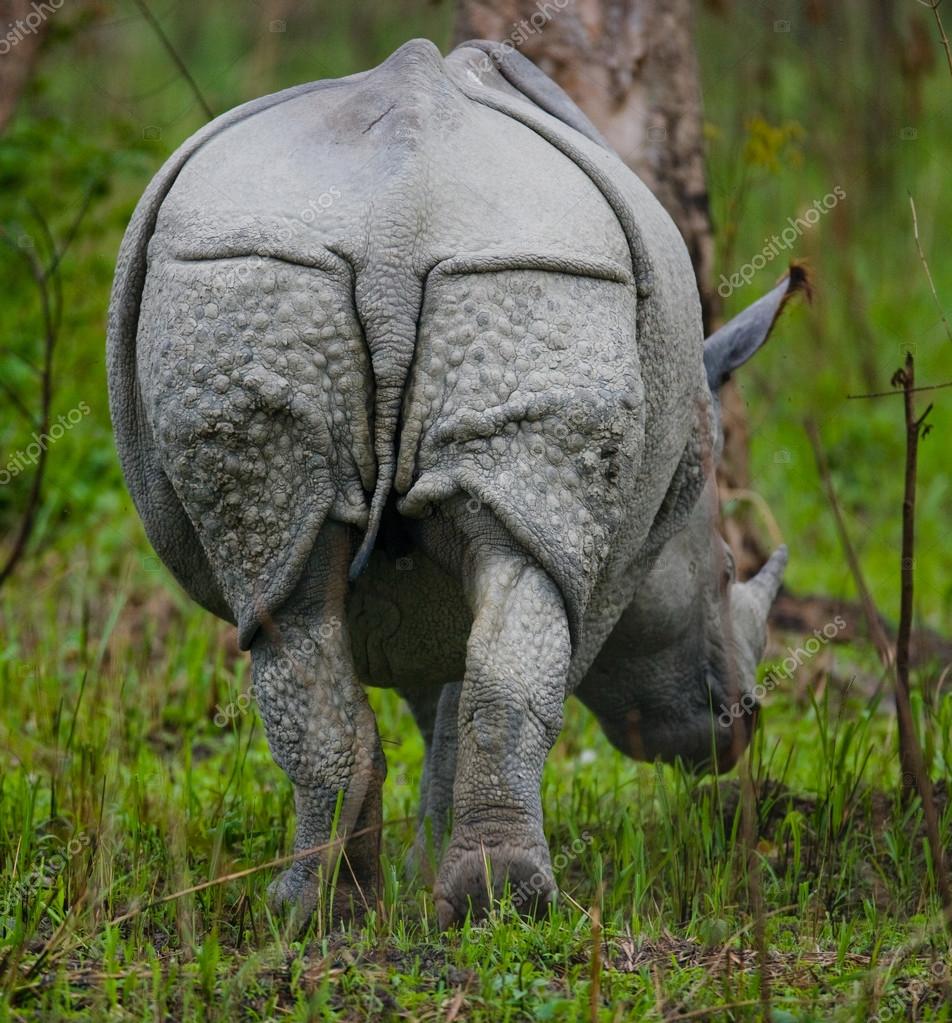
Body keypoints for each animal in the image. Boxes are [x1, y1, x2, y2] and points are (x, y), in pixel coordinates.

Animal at [107, 38, 803, 928]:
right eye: (724, 572)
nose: (739, 726)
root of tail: (395, 225)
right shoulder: (606, 565)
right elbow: (453, 689)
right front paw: (424, 871)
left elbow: (425, 682)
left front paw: (415, 875)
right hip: (527, 270)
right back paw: (497, 904)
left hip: (263, 275)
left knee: (281, 588)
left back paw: (323, 912)